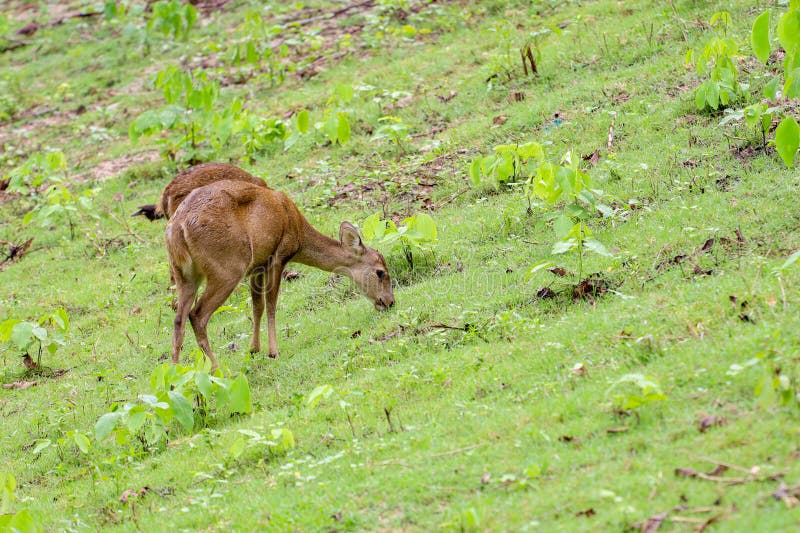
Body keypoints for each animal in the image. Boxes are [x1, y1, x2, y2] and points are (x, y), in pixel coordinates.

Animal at [166, 178, 395, 373]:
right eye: (380, 272)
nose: (390, 302)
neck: (299, 233)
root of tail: (177, 228)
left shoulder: (257, 266)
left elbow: (257, 306)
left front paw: (254, 349)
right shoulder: (278, 255)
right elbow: (271, 304)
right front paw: (273, 351)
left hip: (184, 274)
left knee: (178, 319)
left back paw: (175, 375)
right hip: (228, 267)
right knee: (197, 315)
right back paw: (215, 369)